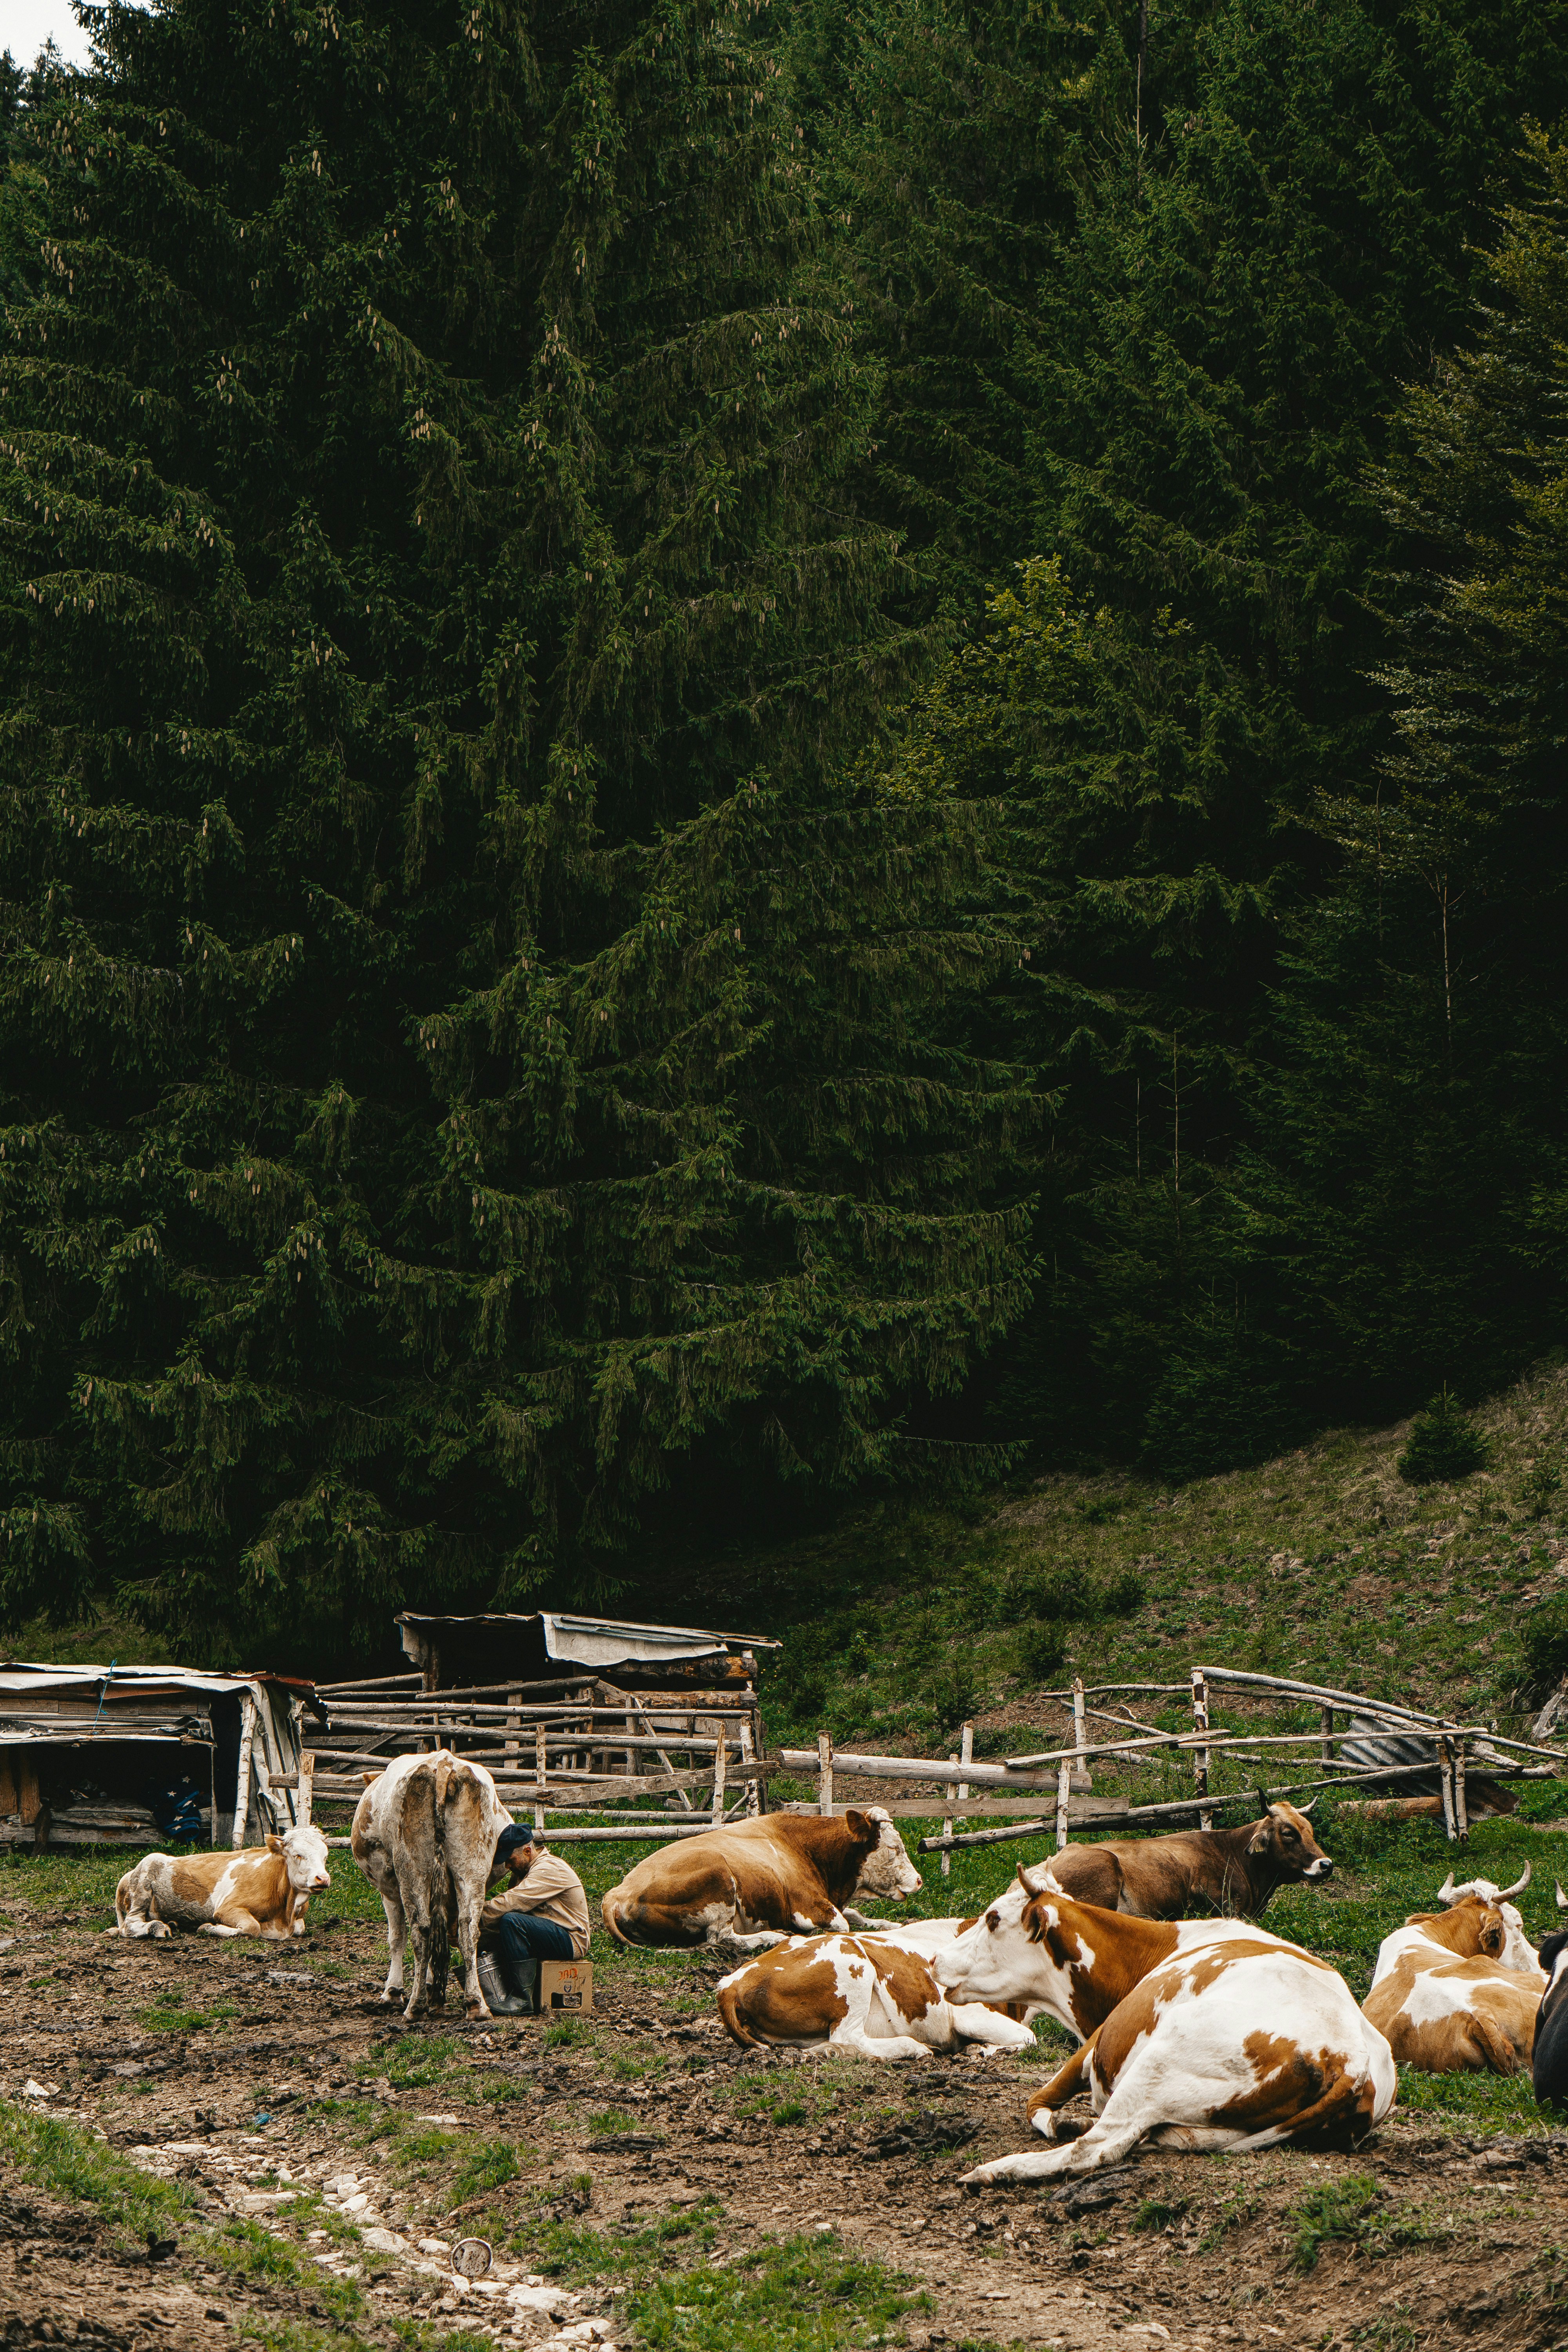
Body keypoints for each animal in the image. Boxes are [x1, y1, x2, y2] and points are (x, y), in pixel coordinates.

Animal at [115, 1824, 331, 1940]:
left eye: (326, 1856)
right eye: (298, 1855)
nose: (323, 1878)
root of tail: (129, 1873)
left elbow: (301, 1928)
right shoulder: (227, 1909)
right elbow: (253, 1928)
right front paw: (209, 1928)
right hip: (144, 1881)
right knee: (129, 1925)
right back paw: (157, 1928)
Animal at [352, 1750, 511, 2020]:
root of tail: (444, 1763)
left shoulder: (388, 1890)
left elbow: (397, 1937)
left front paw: (393, 1992)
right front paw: (432, 1988)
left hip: (412, 1870)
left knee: (421, 1931)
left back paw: (415, 2006)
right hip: (471, 1868)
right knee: (468, 1930)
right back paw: (475, 2004)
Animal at [600, 1808, 922, 1951]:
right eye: (894, 1848)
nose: (919, 1881)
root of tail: (617, 1893)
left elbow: (856, 1915)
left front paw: (890, 1925)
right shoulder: (808, 1907)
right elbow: (844, 1926)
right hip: (719, 1876)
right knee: (722, 1938)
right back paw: (774, 1937)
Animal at [716, 1932, 1038, 2060]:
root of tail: (730, 1983)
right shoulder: (971, 2013)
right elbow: (1030, 2038)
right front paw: (983, 2050)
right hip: (852, 1962)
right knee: (850, 2037)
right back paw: (915, 2048)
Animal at [932, 1864, 1394, 2180]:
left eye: (993, 1918)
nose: (935, 1959)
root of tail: (1352, 2058)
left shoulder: (1094, 2043)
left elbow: (1038, 2104)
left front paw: (1059, 2122)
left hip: (1162, 2058)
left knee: (1098, 2147)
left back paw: (997, 2170)